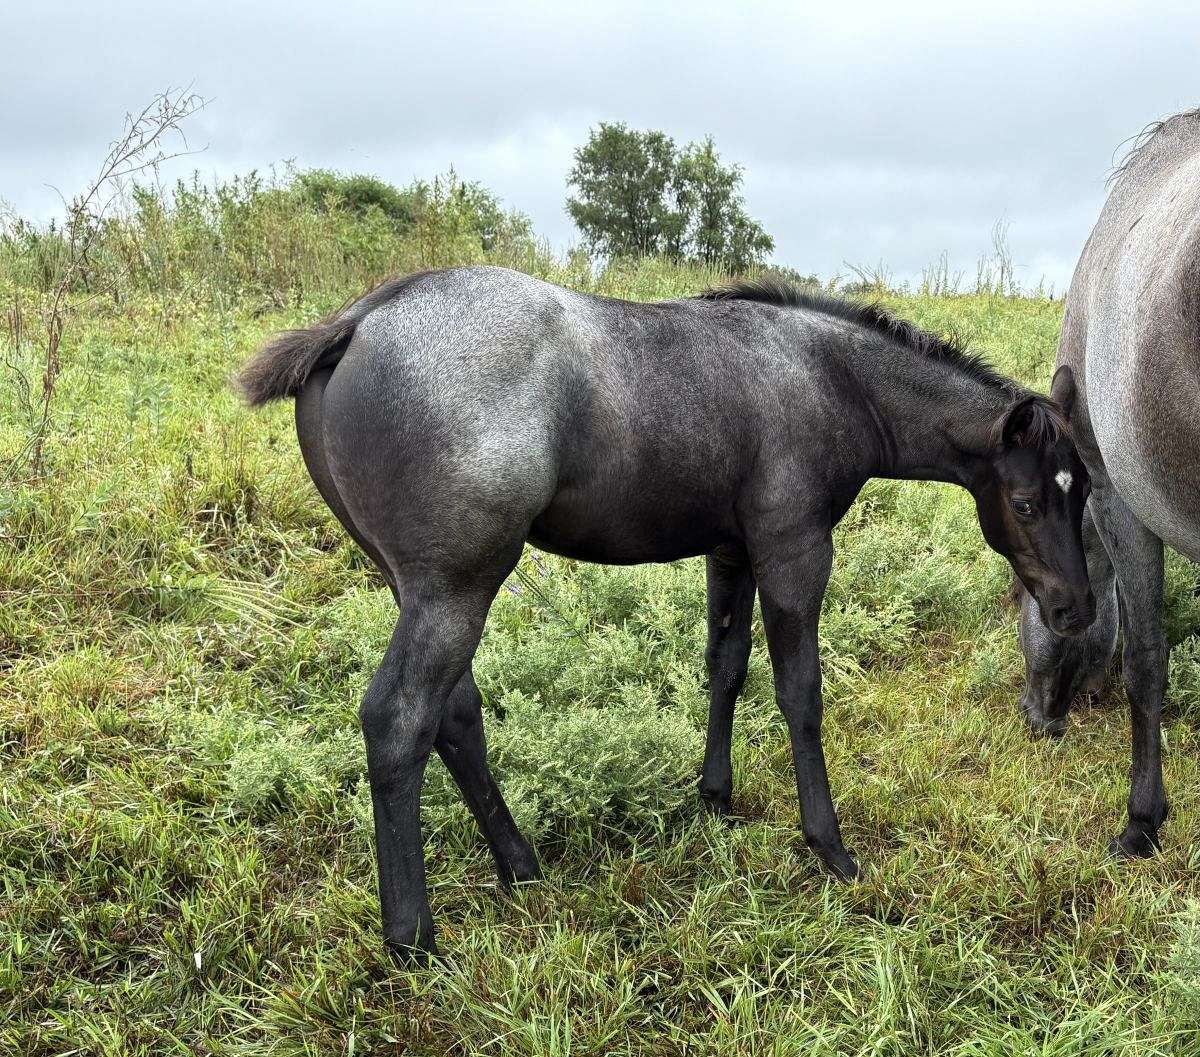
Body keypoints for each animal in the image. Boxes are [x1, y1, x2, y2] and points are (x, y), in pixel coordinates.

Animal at [237, 266, 1093, 960]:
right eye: (1024, 500)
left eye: (1081, 487)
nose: (1075, 608)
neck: (828, 375)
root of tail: (358, 320)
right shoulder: (794, 549)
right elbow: (800, 692)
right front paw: (829, 847)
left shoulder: (731, 549)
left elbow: (726, 665)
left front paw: (715, 795)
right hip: (455, 585)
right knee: (399, 718)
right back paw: (413, 937)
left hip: (412, 583)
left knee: (454, 713)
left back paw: (521, 865)